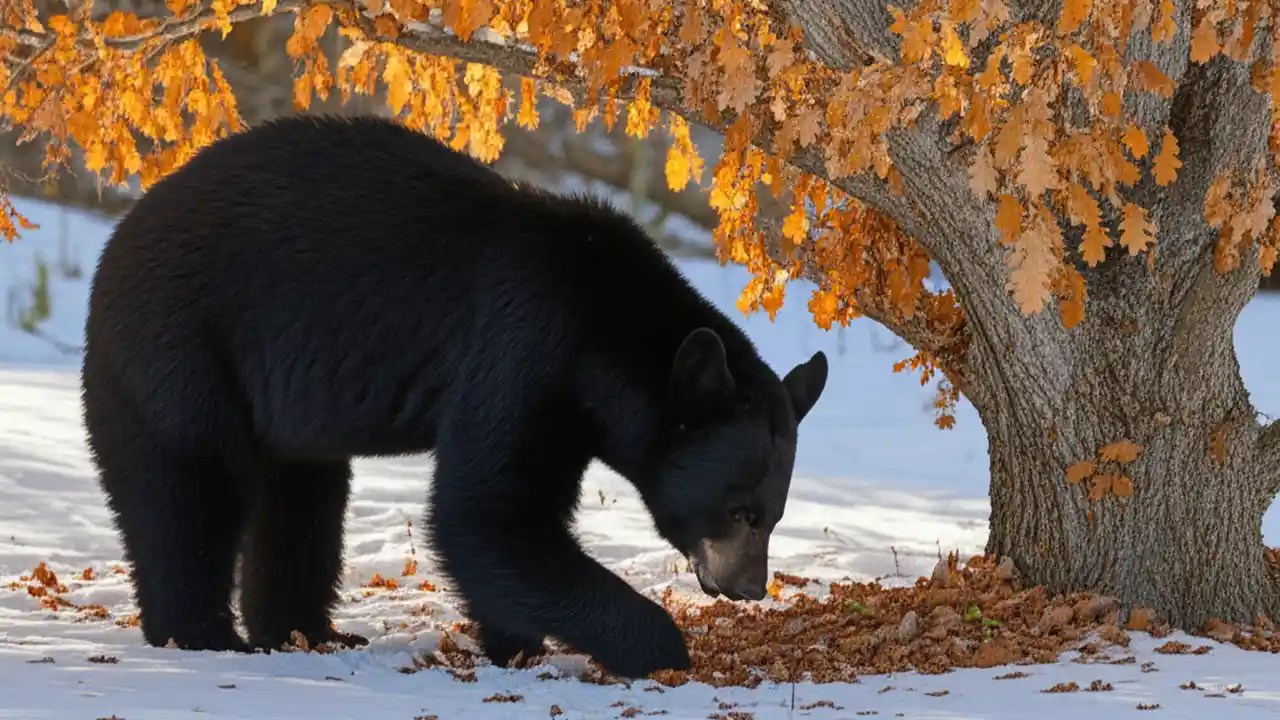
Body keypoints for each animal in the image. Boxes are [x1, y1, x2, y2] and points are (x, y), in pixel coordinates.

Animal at [80, 114, 829, 679]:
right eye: (740, 512)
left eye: (774, 514)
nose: (748, 588)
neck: (603, 329)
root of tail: (116, 239)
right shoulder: (522, 345)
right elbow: (486, 510)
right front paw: (659, 645)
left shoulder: (564, 409)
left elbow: (512, 517)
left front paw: (514, 642)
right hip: (181, 344)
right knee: (188, 484)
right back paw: (203, 632)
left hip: (278, 404)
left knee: (302, 496)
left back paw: (306, 632)